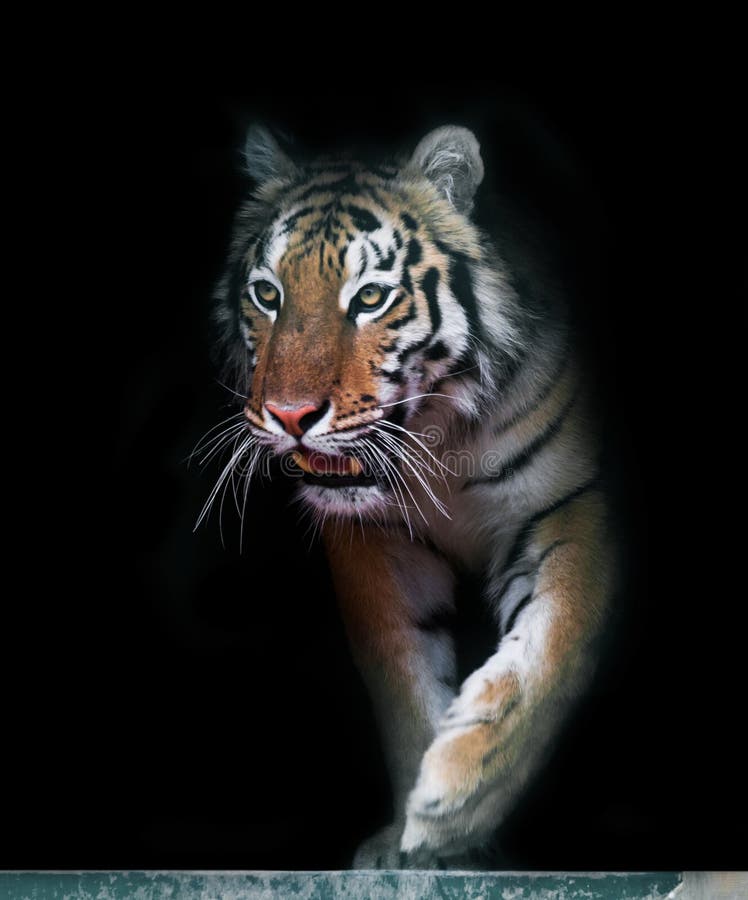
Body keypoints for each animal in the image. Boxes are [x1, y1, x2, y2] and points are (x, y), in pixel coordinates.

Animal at [211, 124, 614, 867]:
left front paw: (457, 802)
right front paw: (411, 844)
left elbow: (552, 650)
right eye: (267, 294)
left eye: (370, 297)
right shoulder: (376, 542)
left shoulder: (571, 504)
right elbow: (400, 680)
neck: (441, 439)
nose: (288, 415)